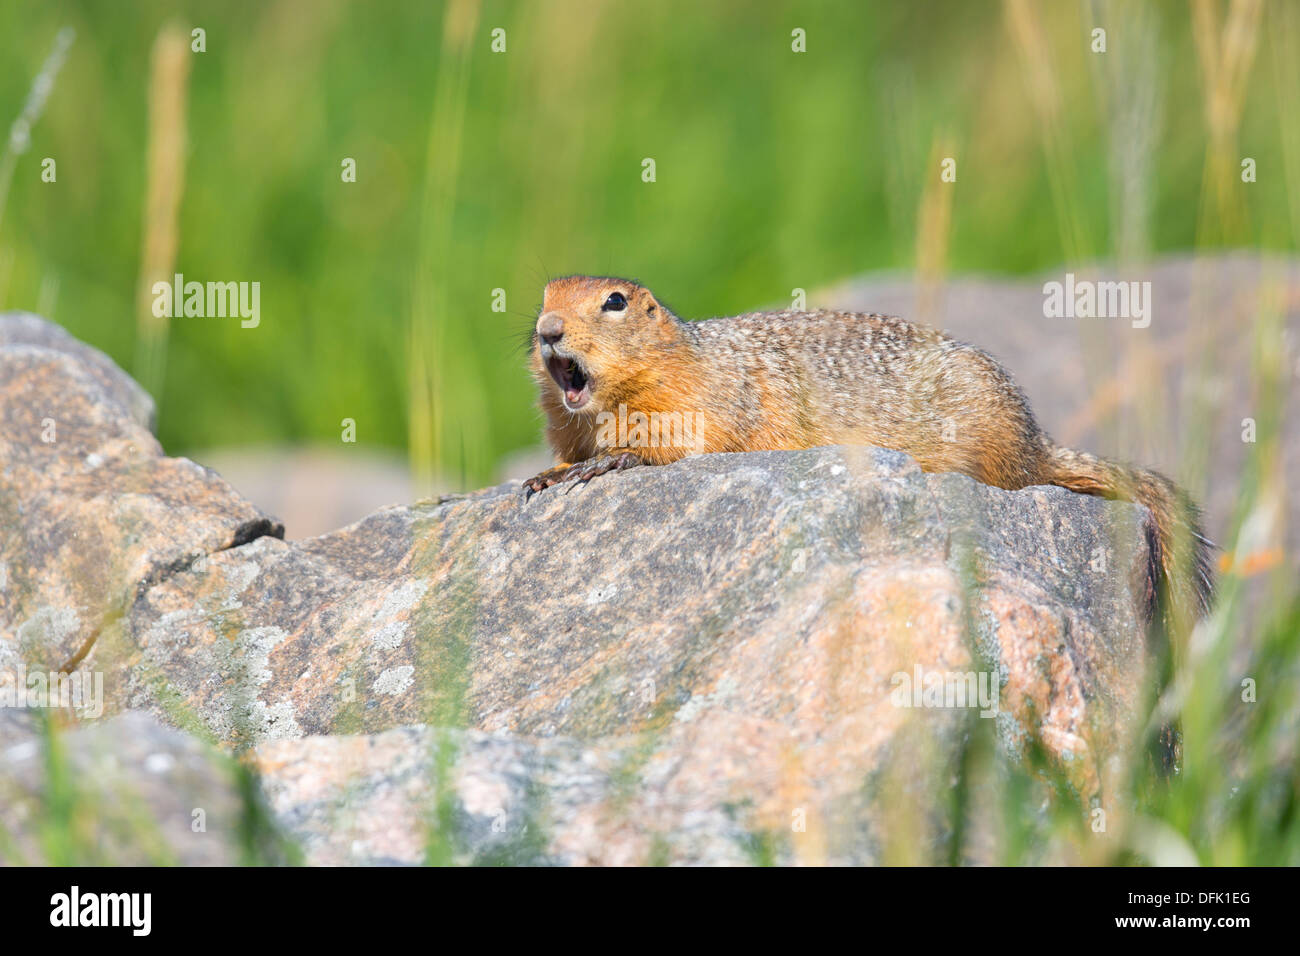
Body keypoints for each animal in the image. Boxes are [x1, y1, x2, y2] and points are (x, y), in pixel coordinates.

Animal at [524, 275, 1214, 629]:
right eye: (544, 296)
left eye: (613, 301)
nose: (546, 330)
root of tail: (1037, 439)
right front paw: (547, 473)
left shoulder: (697, 400)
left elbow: (677, 443)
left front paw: (609, 460)